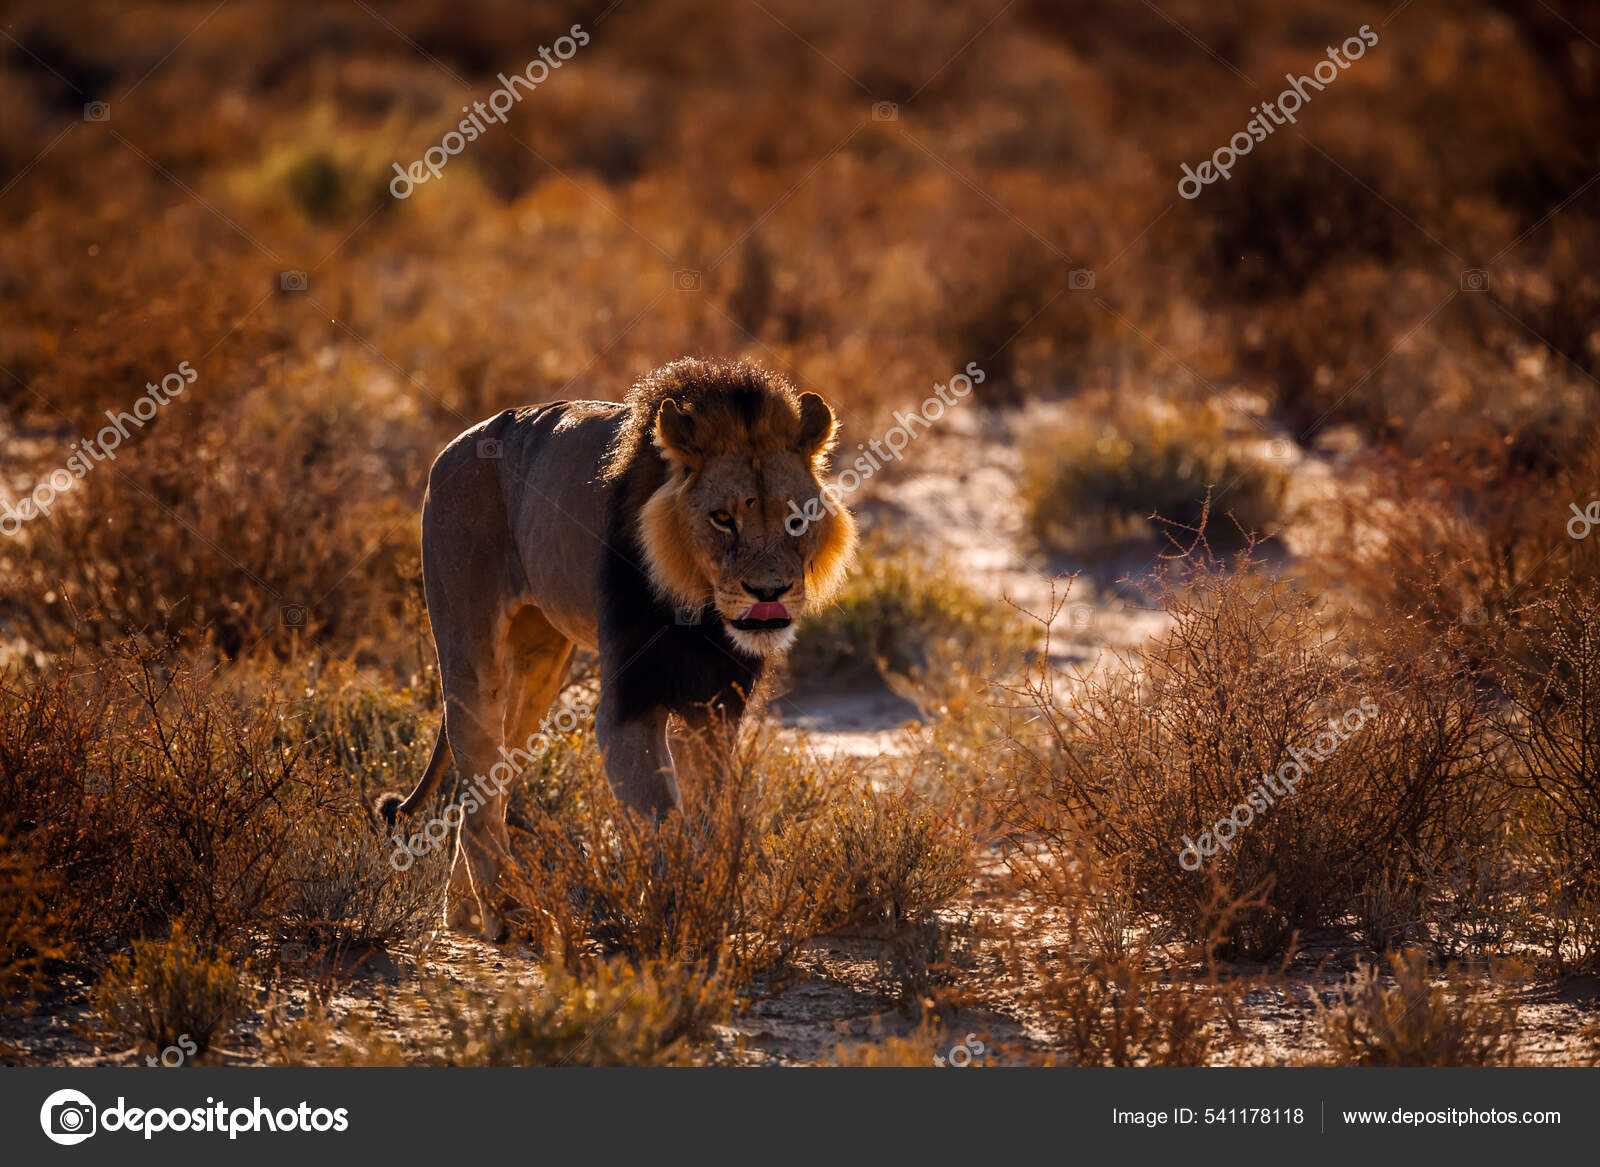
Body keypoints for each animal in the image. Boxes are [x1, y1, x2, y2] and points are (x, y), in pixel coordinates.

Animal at [376, 358, 857, 938]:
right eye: (723, 519)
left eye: (796, 519)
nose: (769, 593)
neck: (700, 611)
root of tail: (454, 446)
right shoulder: (629, 705)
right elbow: (660, 816)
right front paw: (674, 914)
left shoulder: (715, 710)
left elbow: (708, 815)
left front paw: (708, 906)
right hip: (470, 645)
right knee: (477, 780)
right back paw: (509, 914)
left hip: (540, 662)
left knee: (496, 776)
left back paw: (468, 913)